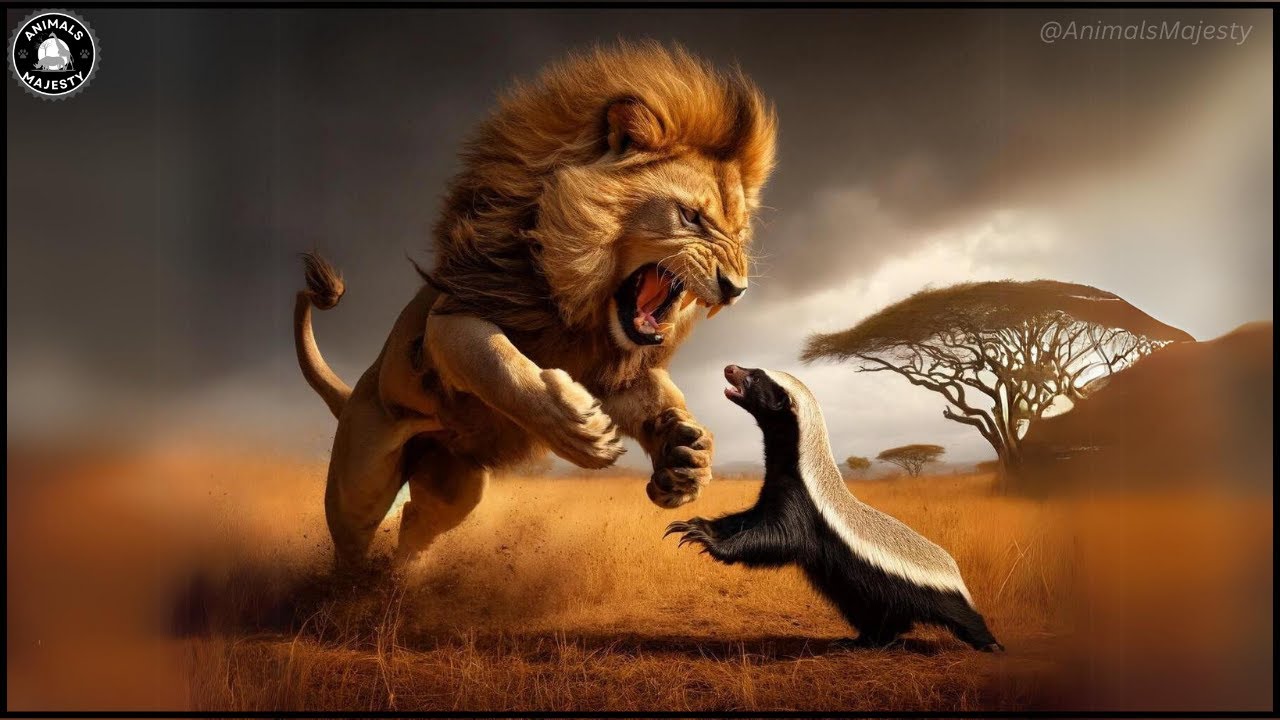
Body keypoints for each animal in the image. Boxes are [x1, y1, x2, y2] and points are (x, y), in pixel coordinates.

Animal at [293, 42, 777, 569]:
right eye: (690, 217)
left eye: (738, 234)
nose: (736, 288)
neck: (579, 307)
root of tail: (357, 391)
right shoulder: (448, 317)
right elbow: (495, 361)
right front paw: (578, 430)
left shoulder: (608, 369)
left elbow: (655, 397)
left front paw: (687, 456)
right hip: (360, 480)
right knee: (353, 537)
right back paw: (354, 585)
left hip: (455, 485)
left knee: (415, 526)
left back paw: (399, 580)